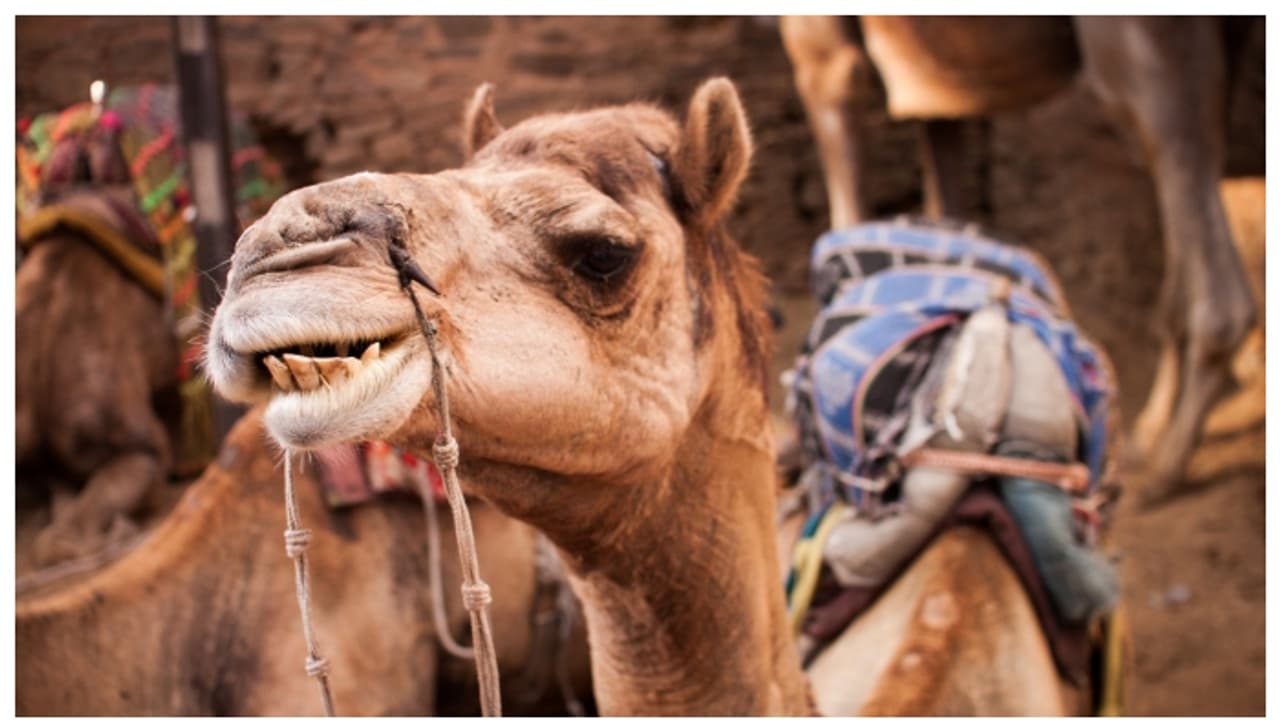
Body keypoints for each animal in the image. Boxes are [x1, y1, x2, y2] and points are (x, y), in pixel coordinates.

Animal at [778, 16, 1258, 505]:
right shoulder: (939, 87)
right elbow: (943, 203)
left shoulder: (826, 52)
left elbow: (848, 210)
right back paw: (1149, 435)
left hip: (1139, 46)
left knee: (1221, 293)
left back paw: (1165, 467)